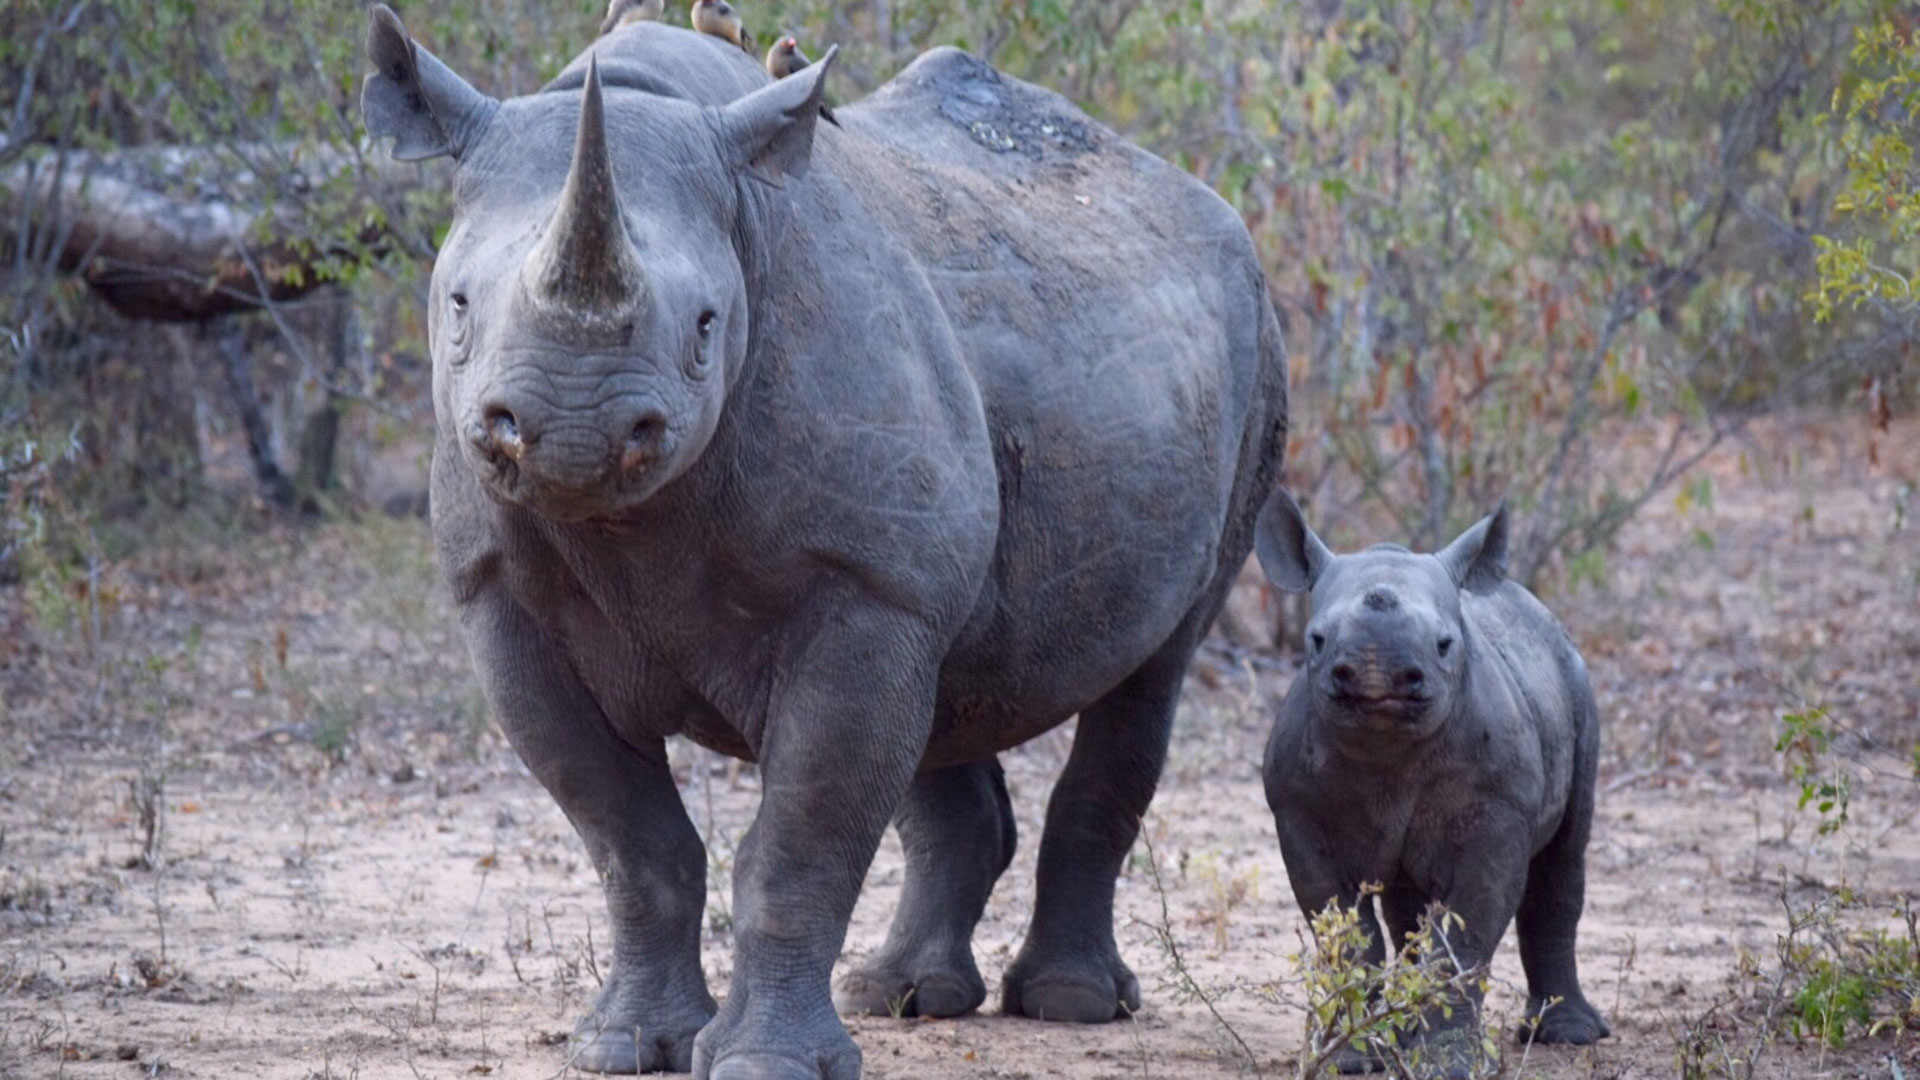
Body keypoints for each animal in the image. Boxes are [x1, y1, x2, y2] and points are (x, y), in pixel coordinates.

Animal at [359, 8, 1287, 1078]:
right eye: (457, 307)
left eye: (707, 327)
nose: (575, 431)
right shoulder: (500, 601)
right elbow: (627, 838)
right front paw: (627, 1047)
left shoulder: (863, 588)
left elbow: (799, 841)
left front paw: (763, 1063)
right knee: (950, 689)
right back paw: (902, 997)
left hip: (1256, 344)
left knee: (1152, 668)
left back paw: (1070, 1004)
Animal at [1253, 491, 1609, 1074]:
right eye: (1316, 640)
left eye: (1445, 644)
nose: (1377, 675)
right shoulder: (1298, 812)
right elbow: (1348, 936)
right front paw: (1352, 1058)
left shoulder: (1498, 812)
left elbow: (1464, 937)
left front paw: (1449, 1066)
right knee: (1409, 906)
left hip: (1577, 679)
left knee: (1564, 853)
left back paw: (1567, 1035)